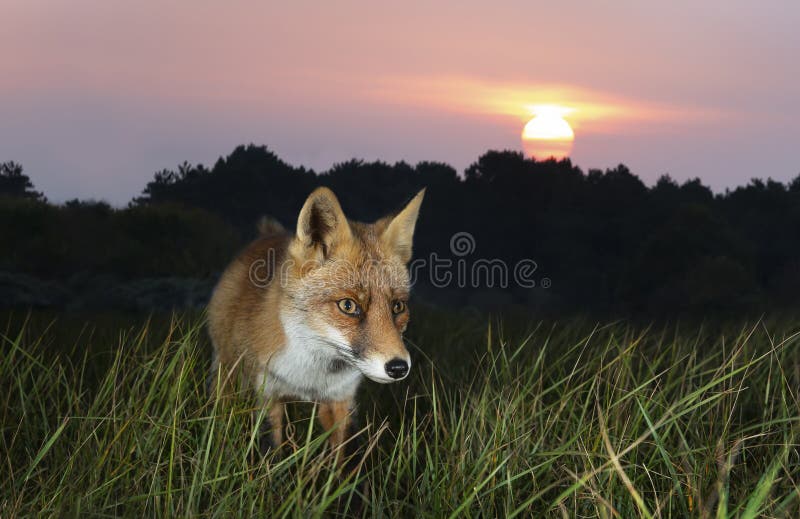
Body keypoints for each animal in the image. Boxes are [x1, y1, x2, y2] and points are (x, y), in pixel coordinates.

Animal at [207, 186, 425, 454]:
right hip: (226, 372)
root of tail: (269, 235)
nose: (398, 368)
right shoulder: (267, 393)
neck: (310, 379)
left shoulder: (341, 400)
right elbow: (272, 452)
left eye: (397, 307)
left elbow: (342, 457)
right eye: (348, 306)